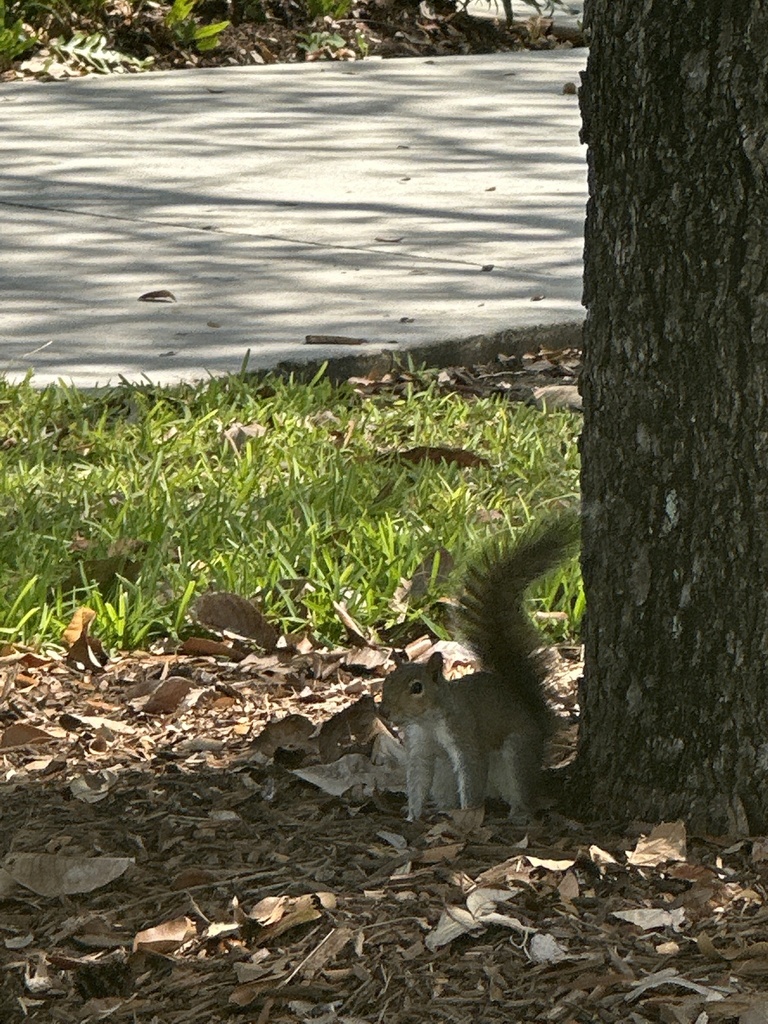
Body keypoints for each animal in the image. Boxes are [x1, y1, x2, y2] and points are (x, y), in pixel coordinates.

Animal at [380, 515, 577, 821]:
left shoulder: (465, 731)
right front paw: (412, 815)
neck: (427, 721)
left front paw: (467, 815)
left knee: (521, 788)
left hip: (516, 754)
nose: (385, 711)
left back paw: (518, 811)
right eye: (387, 681)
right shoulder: (420, 746)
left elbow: (471, 772)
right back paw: (443, 808)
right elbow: (418, 778)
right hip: (444, 774)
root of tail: (537, 724)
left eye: (417, 688)